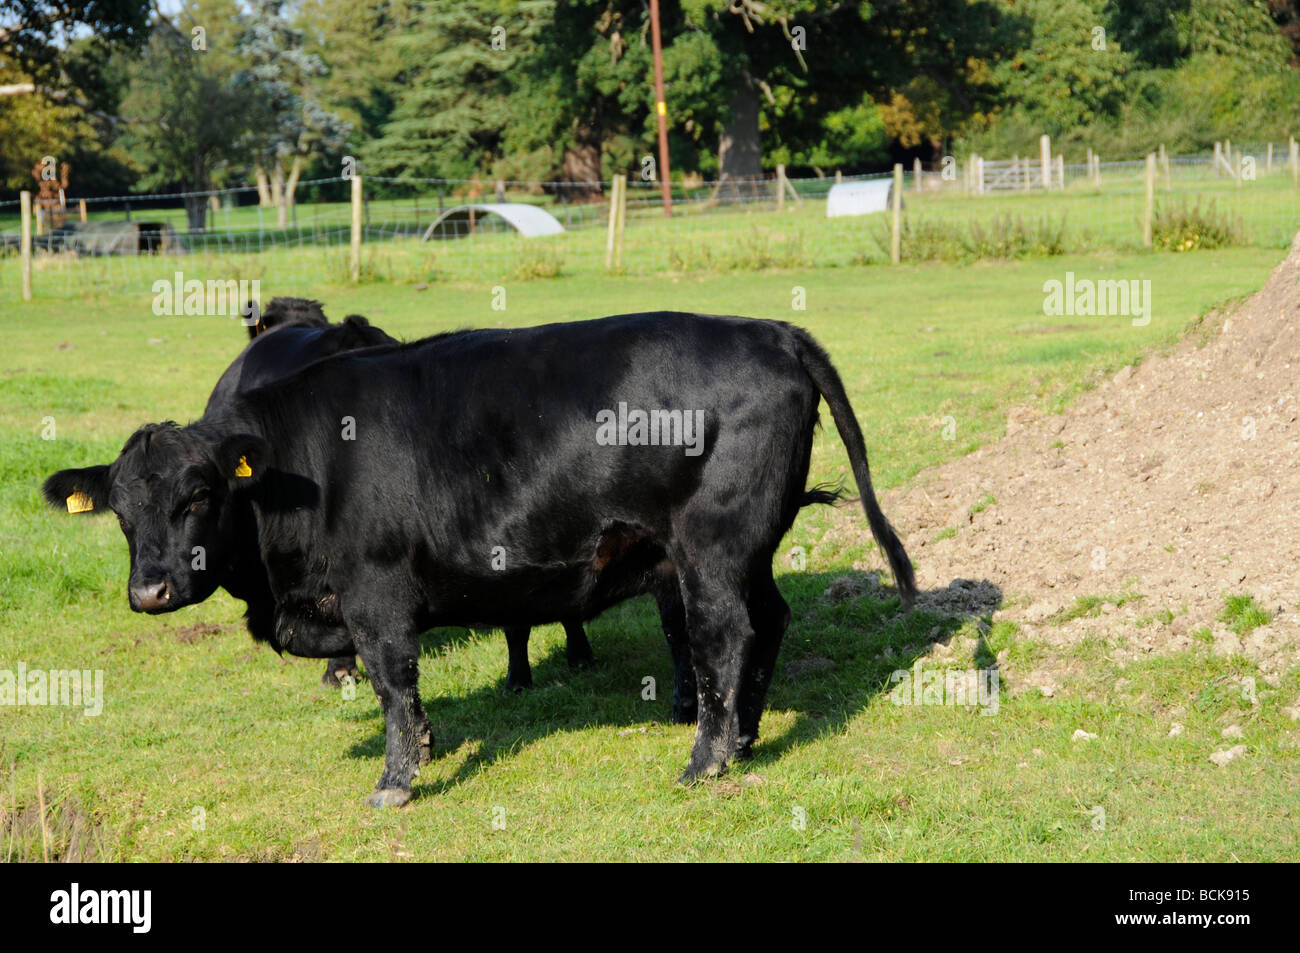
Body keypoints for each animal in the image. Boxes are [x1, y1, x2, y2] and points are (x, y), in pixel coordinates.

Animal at [43, 311, 914, 806]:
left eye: (198, 493)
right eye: (121, 510)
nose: (150, 589)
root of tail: (770, 330)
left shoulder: (377, 594)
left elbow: (394, 685)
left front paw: (396, 781)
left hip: (710, 547)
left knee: (723, 636)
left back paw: (706, 759)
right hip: (747, 550)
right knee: (769, 620)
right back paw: (745, 736)